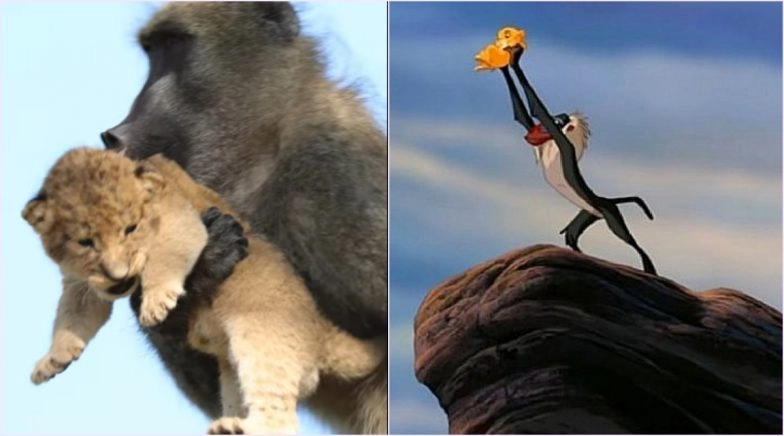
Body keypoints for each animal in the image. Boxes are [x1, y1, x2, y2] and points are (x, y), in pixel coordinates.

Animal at [22, 147, 387, 434]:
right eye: (85, 242)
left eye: (131, 229)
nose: (118, 275)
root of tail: (319, 330)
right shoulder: (81, 283)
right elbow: (74, 316)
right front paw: (53, 359)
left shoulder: (182, 221)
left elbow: (166, 257)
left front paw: (157, 302)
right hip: (233, 372)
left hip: (260, 339)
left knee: (282, 421)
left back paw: (241, 428)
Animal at [498, 46, 657, 275]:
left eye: (558, 119)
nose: (533, 135)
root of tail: (604, 200)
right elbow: (521, 114)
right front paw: (504, 63)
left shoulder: (559, 137)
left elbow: (536, 107)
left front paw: (515, 60)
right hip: (588, 213)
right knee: (572, 235)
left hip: (609, 214)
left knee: (630, 241)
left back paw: (648, 268)